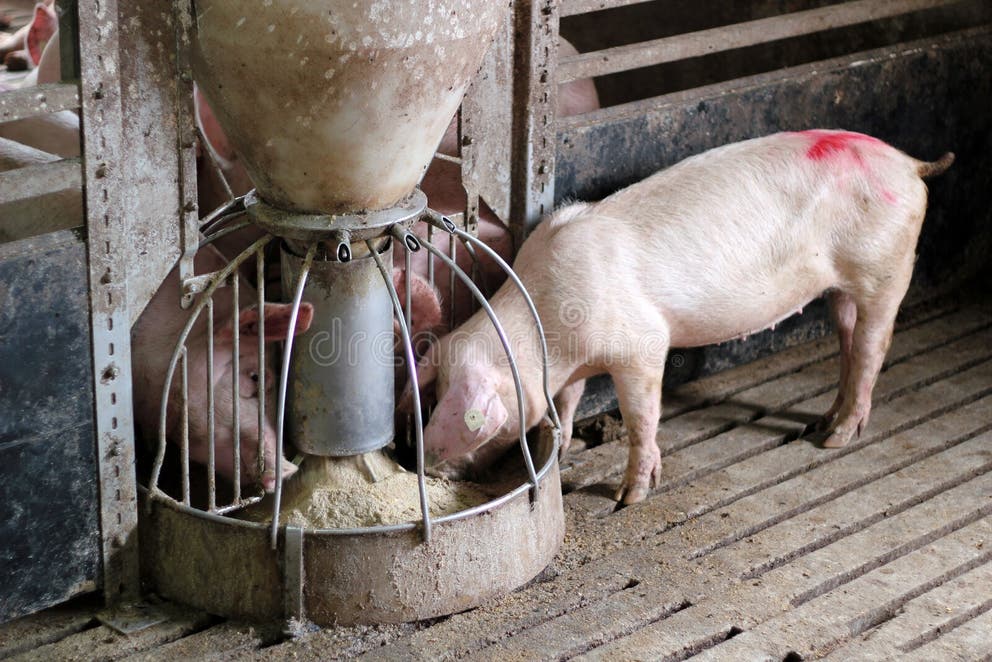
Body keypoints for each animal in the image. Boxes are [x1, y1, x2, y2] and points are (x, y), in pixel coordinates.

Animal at [416, 130, 954, 504]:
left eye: (446, 405)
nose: (430, 467)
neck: (547, 328)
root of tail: (909, 164)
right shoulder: (572, 365)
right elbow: (567, 400)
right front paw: (563, 448)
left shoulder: (642, 347)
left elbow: (641, 416)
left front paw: (630, 496)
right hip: (843, 286)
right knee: (847, 342)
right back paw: (825, 421)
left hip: (885, 267)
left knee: (871, 348)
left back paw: (834, 441)